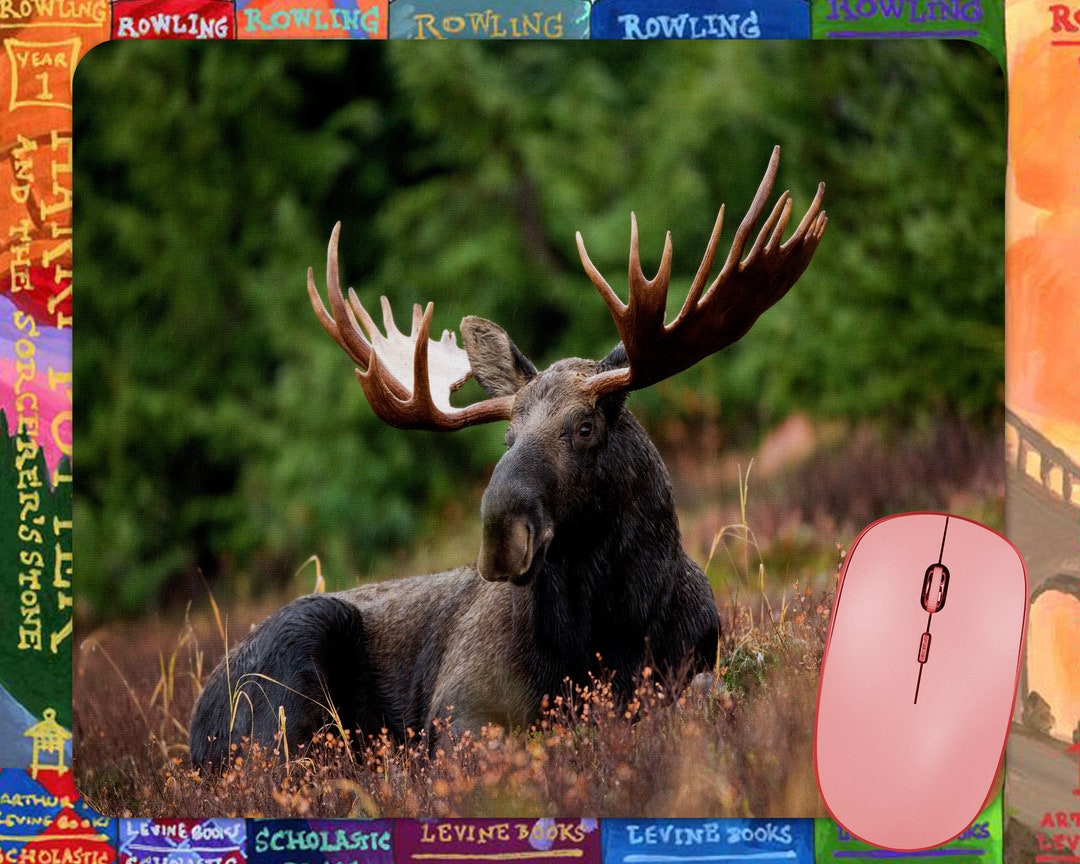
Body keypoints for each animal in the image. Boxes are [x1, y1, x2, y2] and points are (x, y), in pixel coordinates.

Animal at [189, 147, 827, 770]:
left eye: (586, 427)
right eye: (507, 437)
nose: (501, 534)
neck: (612, 628)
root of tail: (197, 726)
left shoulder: (694, 664)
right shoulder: (460, 708)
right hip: (294, 666)